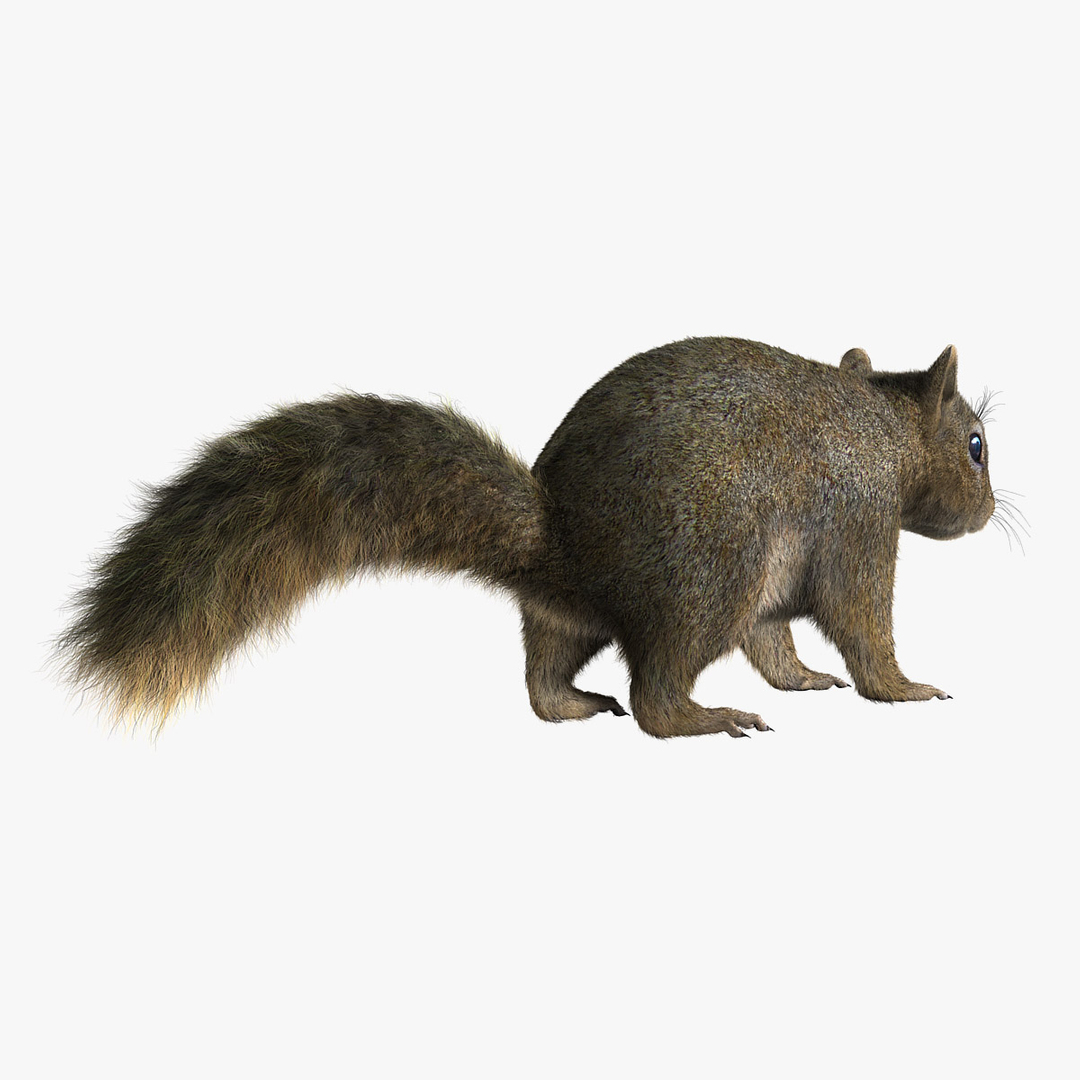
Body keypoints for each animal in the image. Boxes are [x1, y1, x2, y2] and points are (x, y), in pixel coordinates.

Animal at [56, 336, 997, 738]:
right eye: (977, 445)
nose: (991, 511)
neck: (880, 431)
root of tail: (563, 543)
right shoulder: (855, 521)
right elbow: (860, 620)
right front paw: (906, 688)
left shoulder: (785, 580)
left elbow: (777, 639)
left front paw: (803, 678)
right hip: (710, 571)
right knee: (656, 695)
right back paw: (704, 717)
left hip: (581, 608)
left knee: (543, 670)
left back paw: (573, 704)